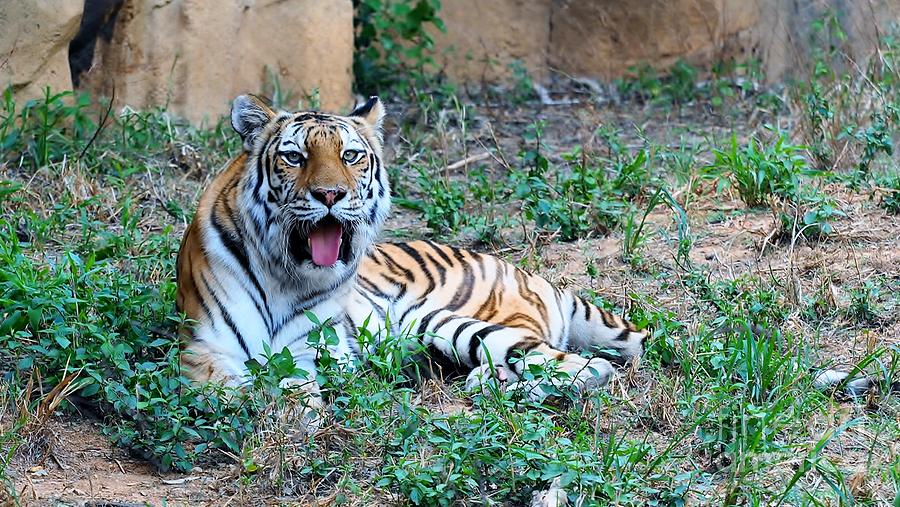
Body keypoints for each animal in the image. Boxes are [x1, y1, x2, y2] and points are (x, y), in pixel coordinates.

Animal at [175, 94, 647, 411]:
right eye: (294, 157)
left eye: (350, 156)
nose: (330, 194)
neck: (285, 274)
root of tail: (529, 274)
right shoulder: (201, 354)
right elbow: (231, 390)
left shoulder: (307, 354)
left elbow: (294, 390)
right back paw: (485, 382)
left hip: (450, 321)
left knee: (584, 365)